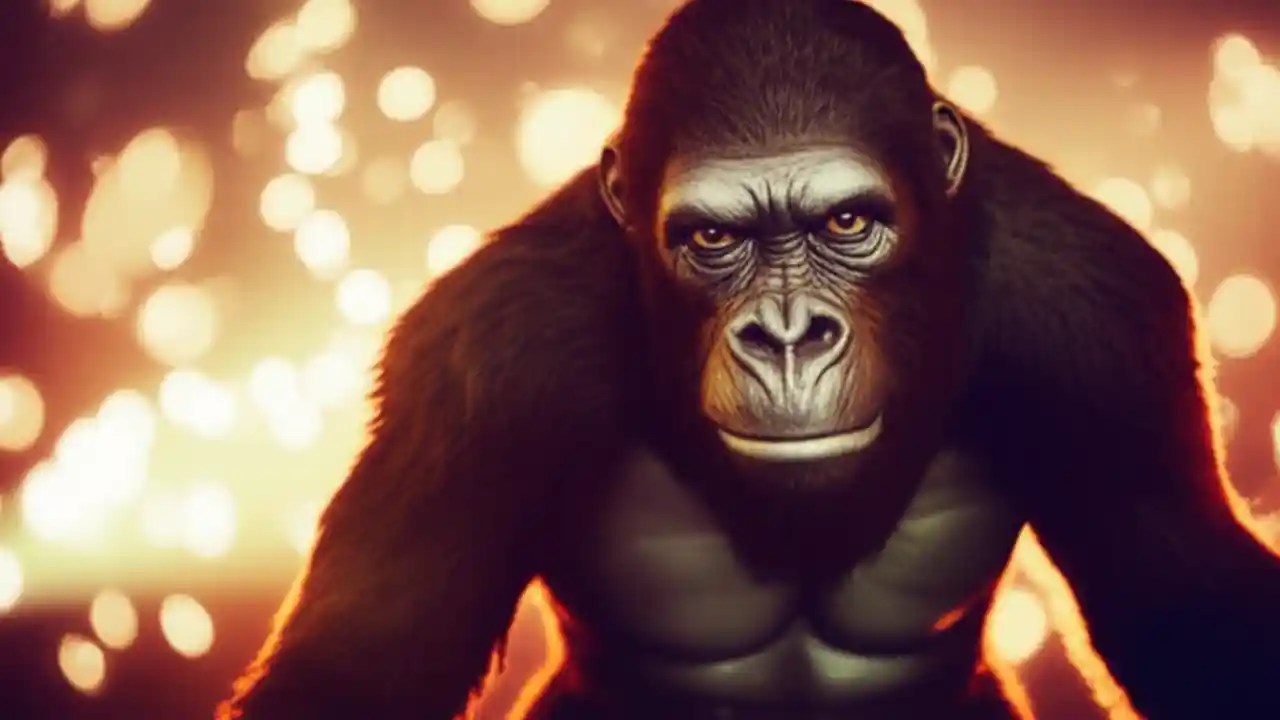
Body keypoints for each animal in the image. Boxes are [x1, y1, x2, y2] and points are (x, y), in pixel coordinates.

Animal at [220, 1, 1280, 718]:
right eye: (712, 240)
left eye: (846, 222)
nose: (785, 333)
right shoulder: (481, 367)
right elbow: (364, 662)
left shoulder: (1097, 316)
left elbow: (1190, 612)